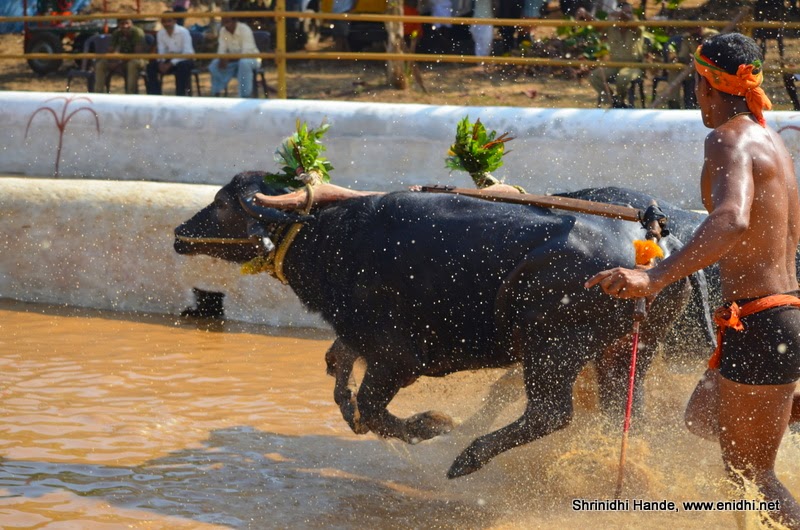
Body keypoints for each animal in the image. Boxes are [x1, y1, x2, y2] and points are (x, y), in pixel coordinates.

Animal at [174, 172, 712, 479]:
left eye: (222, 203)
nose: (180, 233)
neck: (333, 234)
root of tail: (654, 243)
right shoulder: (359, 337)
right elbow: (339, 368)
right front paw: (350, 408)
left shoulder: (397, 358)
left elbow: (374, 408)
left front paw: (432, 424)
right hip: (627, 350)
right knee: (622, 411)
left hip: (553, 347)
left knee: (551, 413)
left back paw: (467, 457)